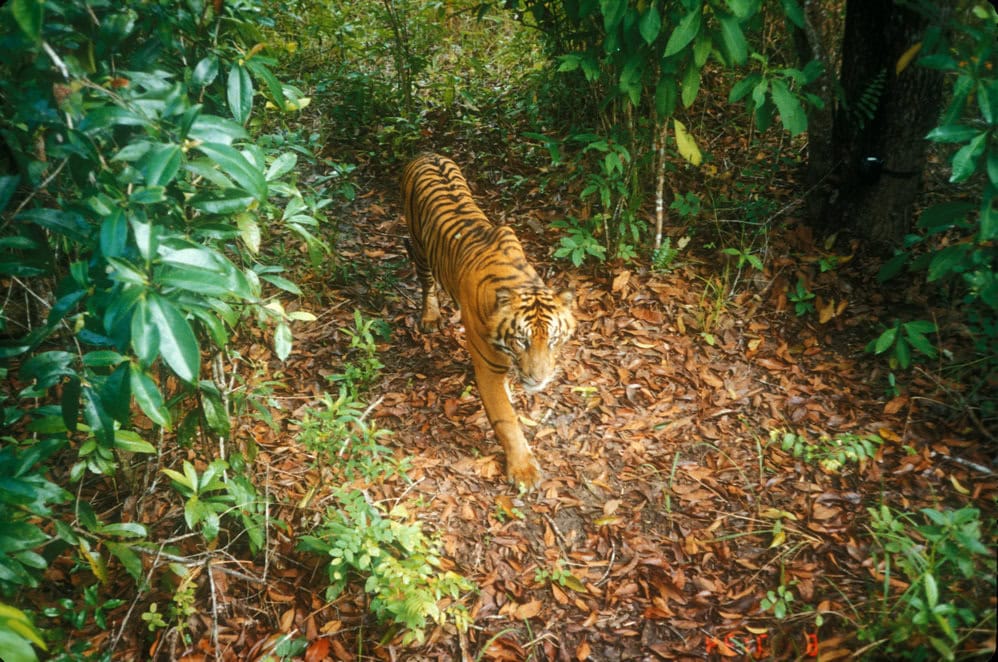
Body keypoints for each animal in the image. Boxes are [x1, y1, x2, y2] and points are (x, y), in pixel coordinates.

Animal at [401, 153, 576, 488]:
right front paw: (523, 470)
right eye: (521, 340)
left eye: (553, 340)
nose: (539, 379)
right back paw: (430, 315)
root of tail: (426, 153)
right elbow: (506, 418)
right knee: (427, 281)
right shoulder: (489, 367)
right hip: (419, 244)